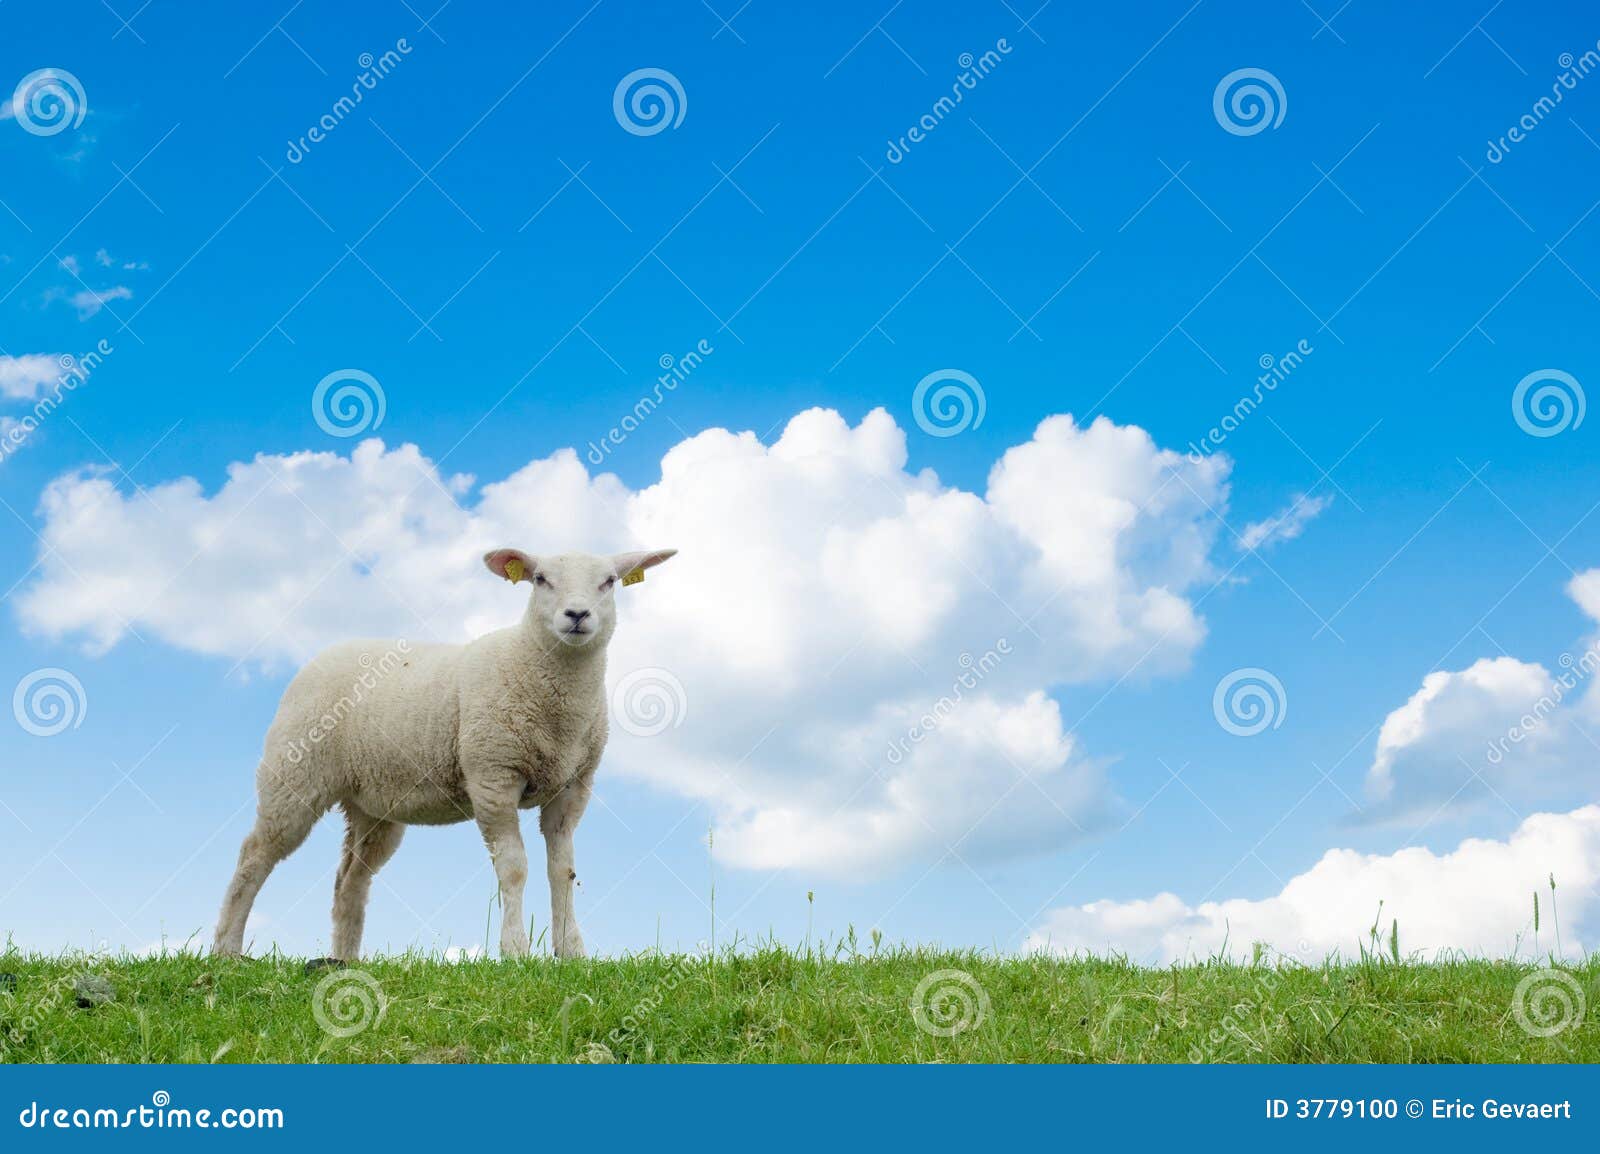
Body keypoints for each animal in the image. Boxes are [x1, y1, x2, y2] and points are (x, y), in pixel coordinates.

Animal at [212, 547, 677, 961]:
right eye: (541, 578)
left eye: (609, 581)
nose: (577, 615)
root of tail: (318, 658)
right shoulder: (493, 777)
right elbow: (514, 867)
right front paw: (516, 951)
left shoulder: (572, 786)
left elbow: (562, 872)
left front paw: (572, 951)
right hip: (294, 776)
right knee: (254, 856)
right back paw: (226, 949)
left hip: (373, 806)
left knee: (350, 881)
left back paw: (345, 960)